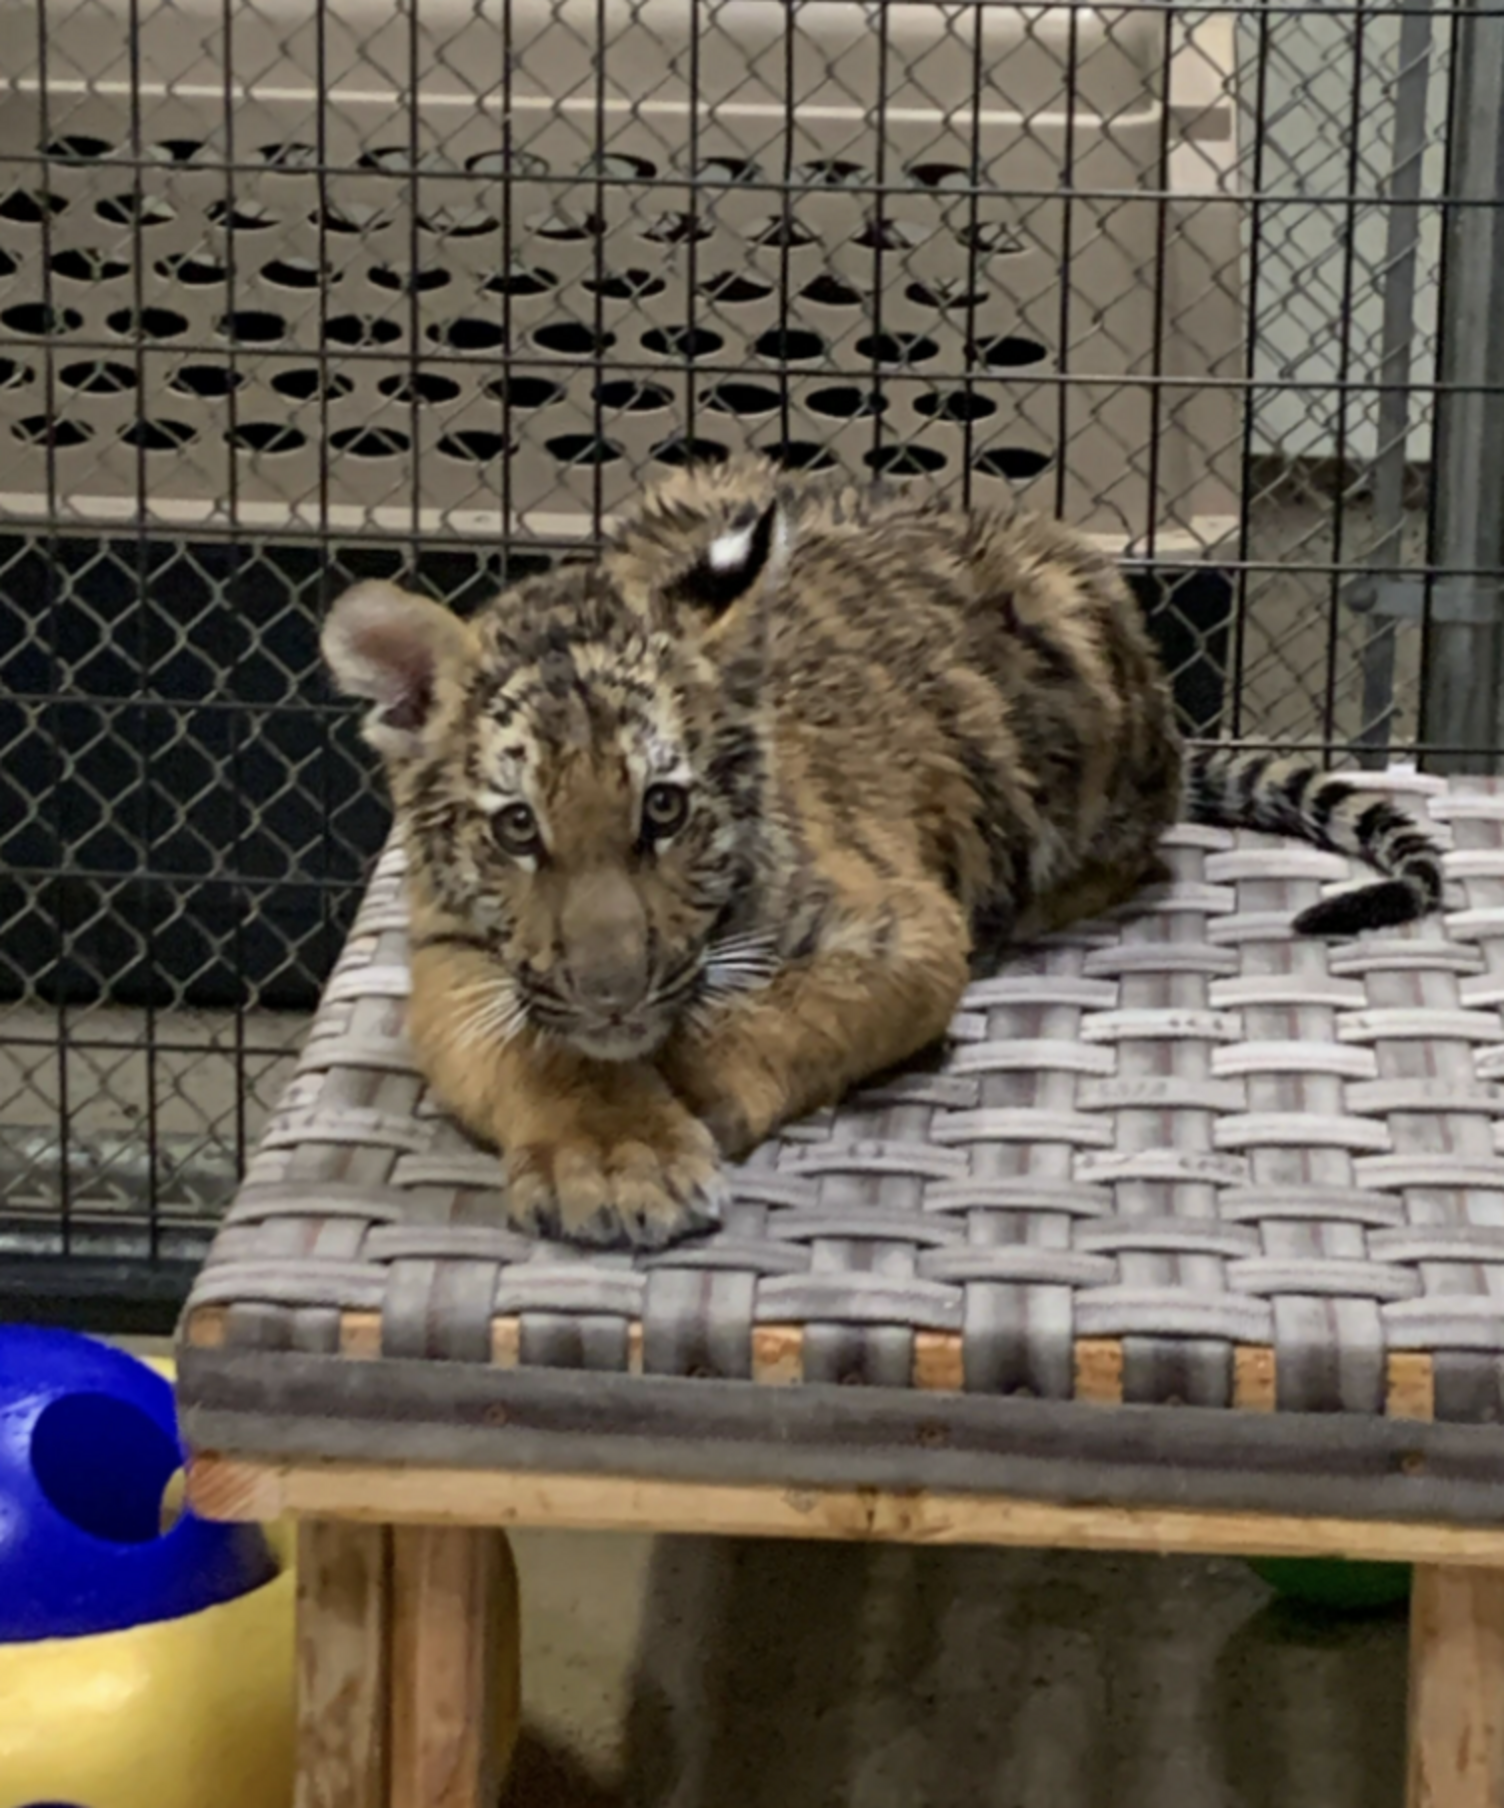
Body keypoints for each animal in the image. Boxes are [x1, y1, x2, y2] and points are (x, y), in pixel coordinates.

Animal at [321, 455, 1444, 1249]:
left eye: (664, 809)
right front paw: (612, 1157)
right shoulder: (448, 955)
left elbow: (783, 1015)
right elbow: (534, 1050)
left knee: (1137, 846)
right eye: (518, 826)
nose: (611, 997)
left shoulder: (905, 925)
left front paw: (676, 1097)